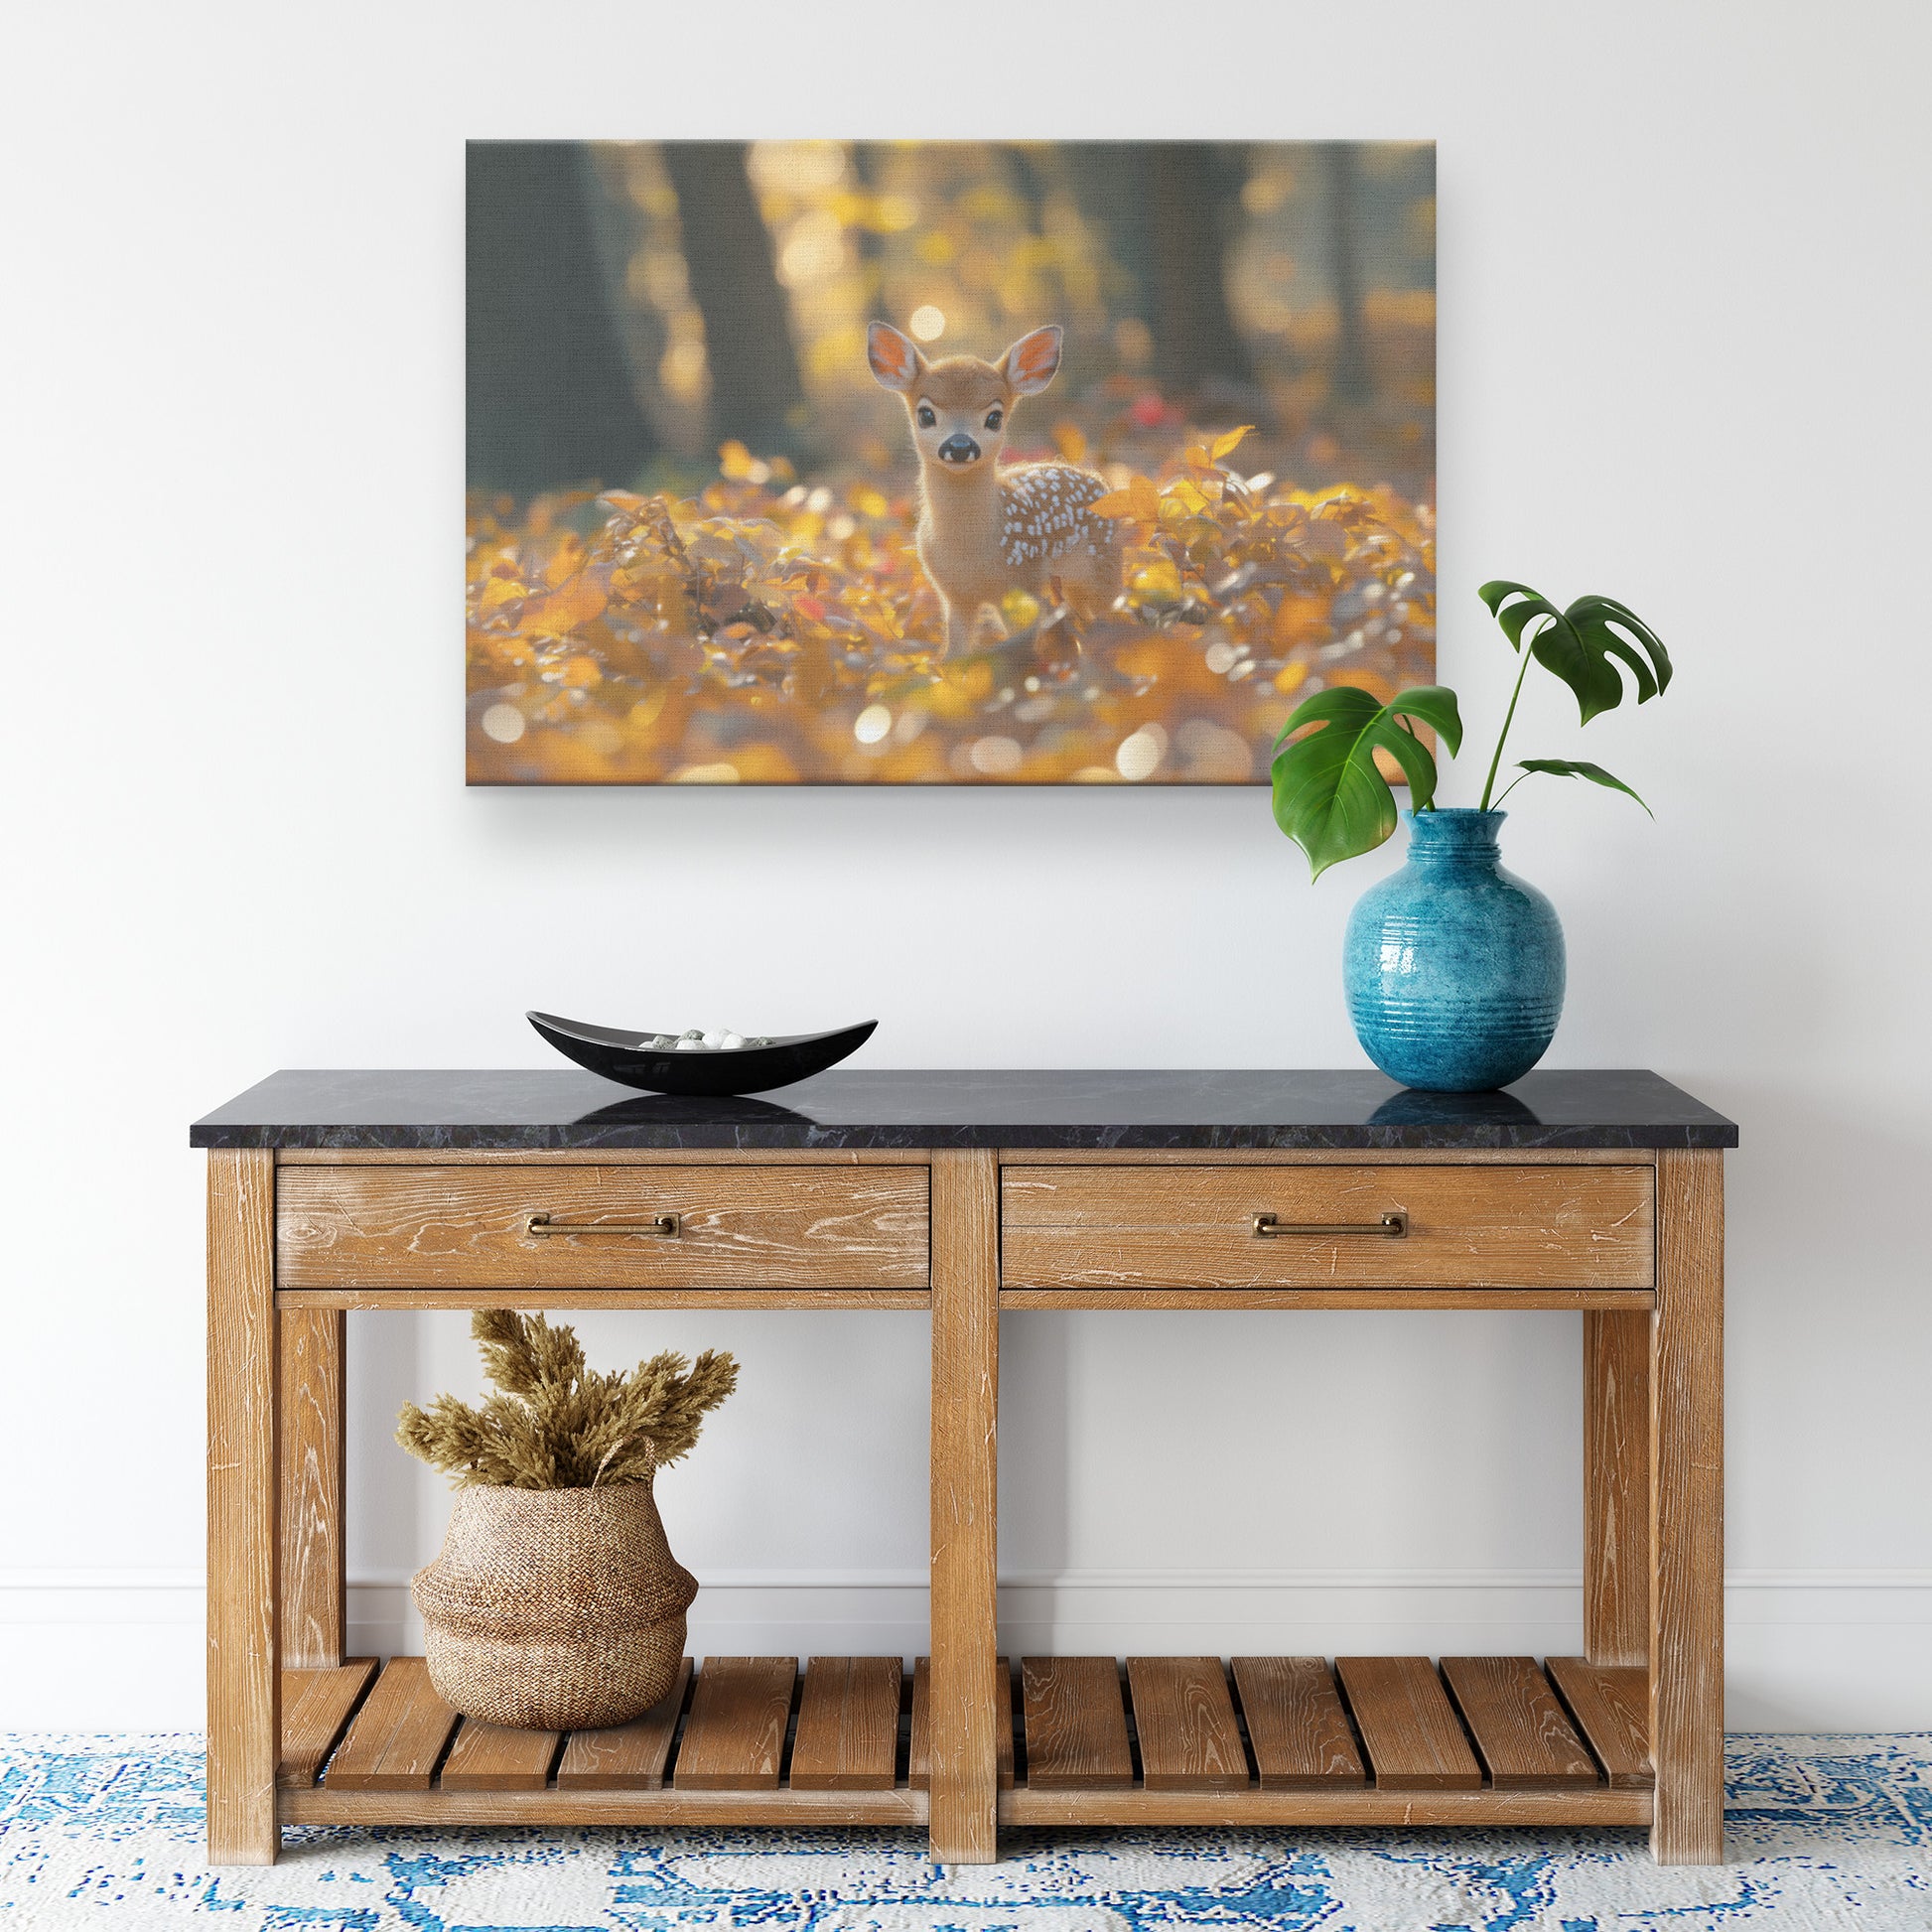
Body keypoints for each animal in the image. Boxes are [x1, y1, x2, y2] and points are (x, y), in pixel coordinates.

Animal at [867, 321, 1123, 655]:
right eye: (926, 414)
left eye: (994, 417)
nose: (960, 446)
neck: (970, 553)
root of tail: (1100, 481)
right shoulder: (953, 594)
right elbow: (955, 653)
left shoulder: (1021, 583)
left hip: (1102, 569)